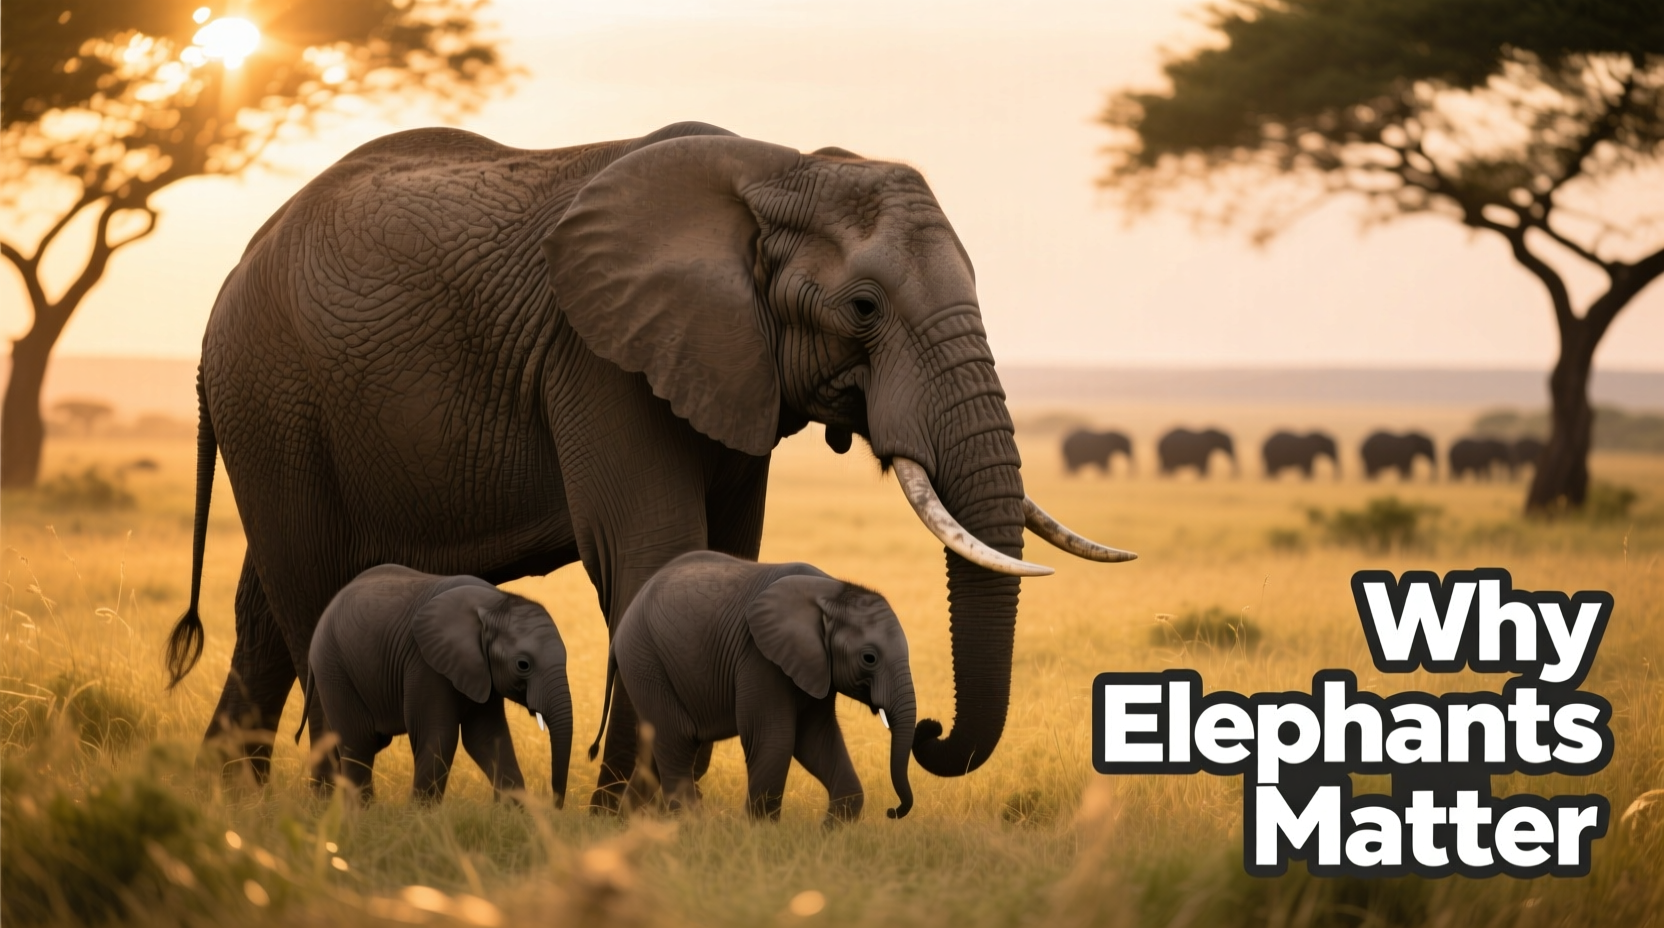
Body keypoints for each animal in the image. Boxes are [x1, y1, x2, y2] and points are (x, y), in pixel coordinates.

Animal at [302, 565, 573, 804]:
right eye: (523, 665)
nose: (555, 805)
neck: (495, 603)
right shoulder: (425, 663)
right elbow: (438, 736)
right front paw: (419, 818)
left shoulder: (481, 672)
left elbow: (487, 737)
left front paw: (516, 817)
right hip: (333, 666)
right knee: (359, 741)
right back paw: (360, 813)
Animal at [597, 551, 913, 823]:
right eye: (869, 658)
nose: (892, 811)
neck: (832, 590)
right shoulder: (759, 656)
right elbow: (774, 738)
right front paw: (760, 833)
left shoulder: (817, 667)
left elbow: (816, 739)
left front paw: (830, 832)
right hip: (645, 658)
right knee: (677, 738)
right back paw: (692, 827)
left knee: (656, 747)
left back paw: (627, 823)